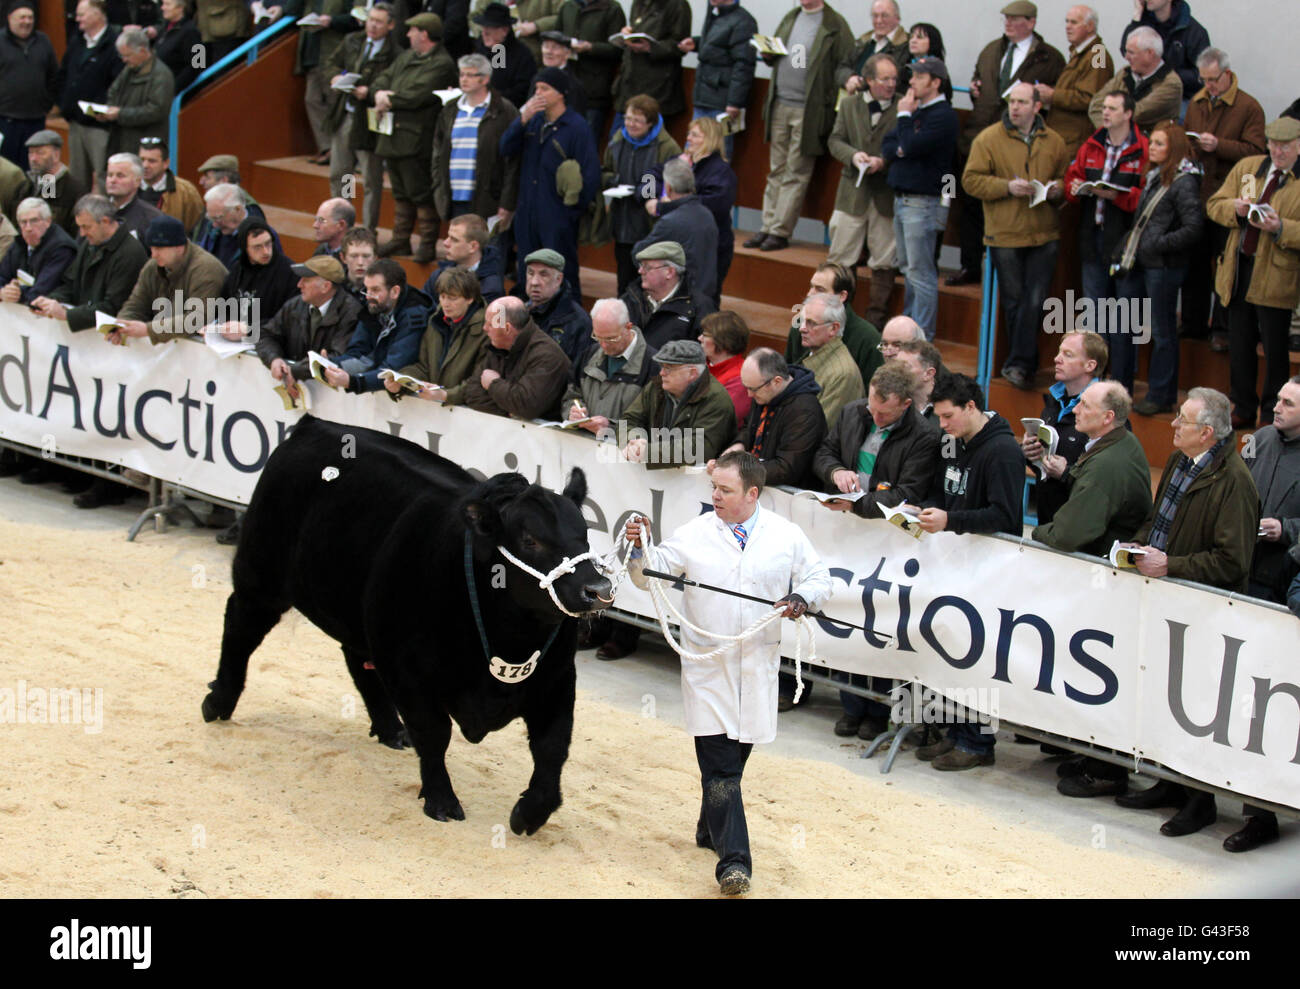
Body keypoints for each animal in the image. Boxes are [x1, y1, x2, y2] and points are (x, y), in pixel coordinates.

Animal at [201, 415, 612, 835]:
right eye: (529, 540)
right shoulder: (408, 672)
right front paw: (441, 799)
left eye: (584, 534)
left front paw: (531, 812)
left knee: (356, 658)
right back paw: (219, 701)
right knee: (240, 627)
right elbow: (434, 733)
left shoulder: (556, 679)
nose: (597, 589)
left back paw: (389, 729)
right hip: (261, 574)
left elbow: (552, 747)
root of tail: (314, 423)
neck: (508, 637)